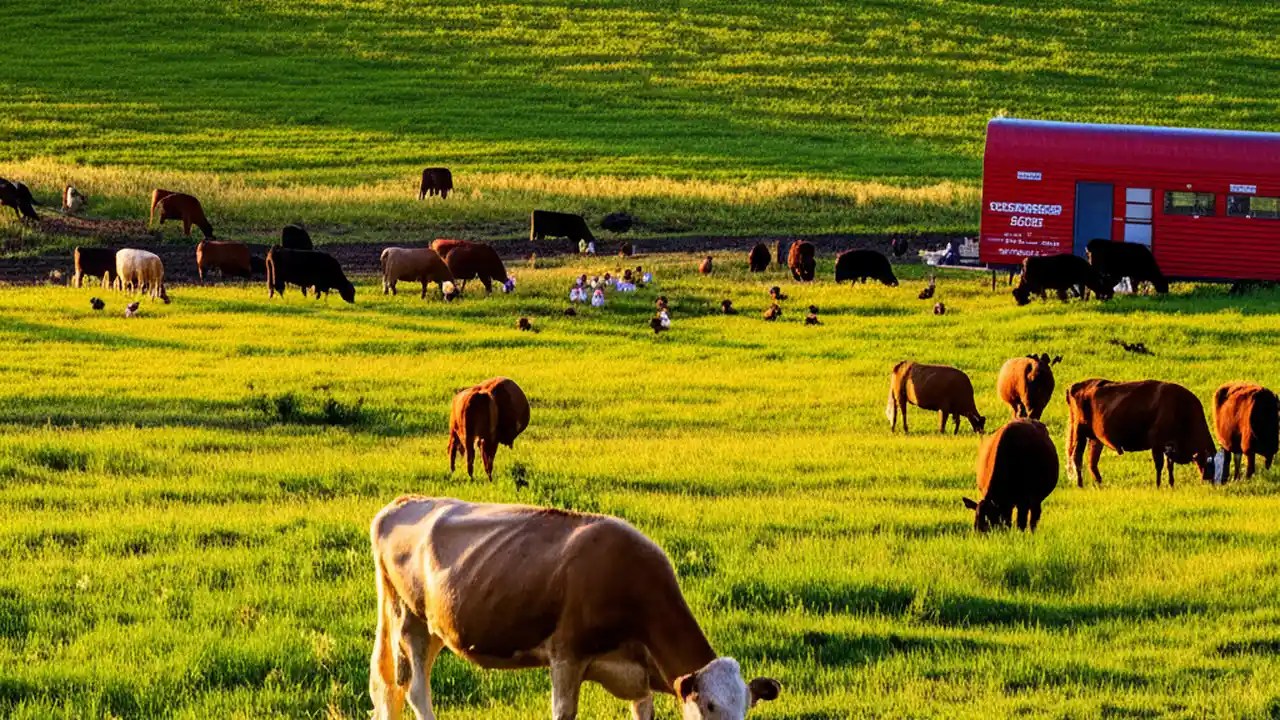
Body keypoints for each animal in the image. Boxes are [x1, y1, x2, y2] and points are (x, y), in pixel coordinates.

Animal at [368, 496, 782, 720]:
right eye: (710, 705)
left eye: (746, 707)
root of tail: (402, 503)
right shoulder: (566, 656)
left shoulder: (639, 674)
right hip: (407, 620)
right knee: (414, 690)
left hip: (437, 626)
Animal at [1065, 379, 1215, 488]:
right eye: (1209, 461)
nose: (1211, 481)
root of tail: (1076, 386)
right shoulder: (1157, 444)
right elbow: (1160, 465)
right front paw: (1158, 485)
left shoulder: (1169, 446)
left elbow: (1169, 466)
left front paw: (1171, 484)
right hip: (1079, 434)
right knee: (1077, 458)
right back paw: (1080, 484)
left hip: (1095, 439)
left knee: (1092, 462)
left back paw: (1099, 483)